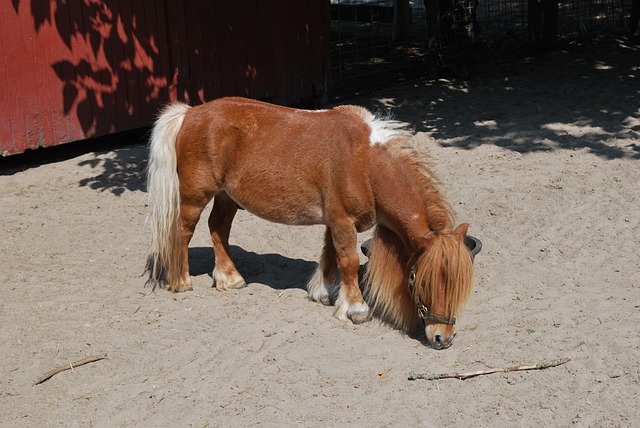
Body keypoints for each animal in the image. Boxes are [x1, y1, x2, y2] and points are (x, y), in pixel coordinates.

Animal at [146, 96, 475, 349]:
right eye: (422, 282)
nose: (443, 337)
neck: (363, 163)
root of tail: (189, 113)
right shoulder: (342, 221)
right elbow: (348, 262)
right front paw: (356, 309)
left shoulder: (335, 221)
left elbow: (330, 256)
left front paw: (325, 294)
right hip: (194, 198)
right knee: (184, 232)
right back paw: (181, 282)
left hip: (227, 197)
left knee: (218, 229)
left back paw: (230, 278)